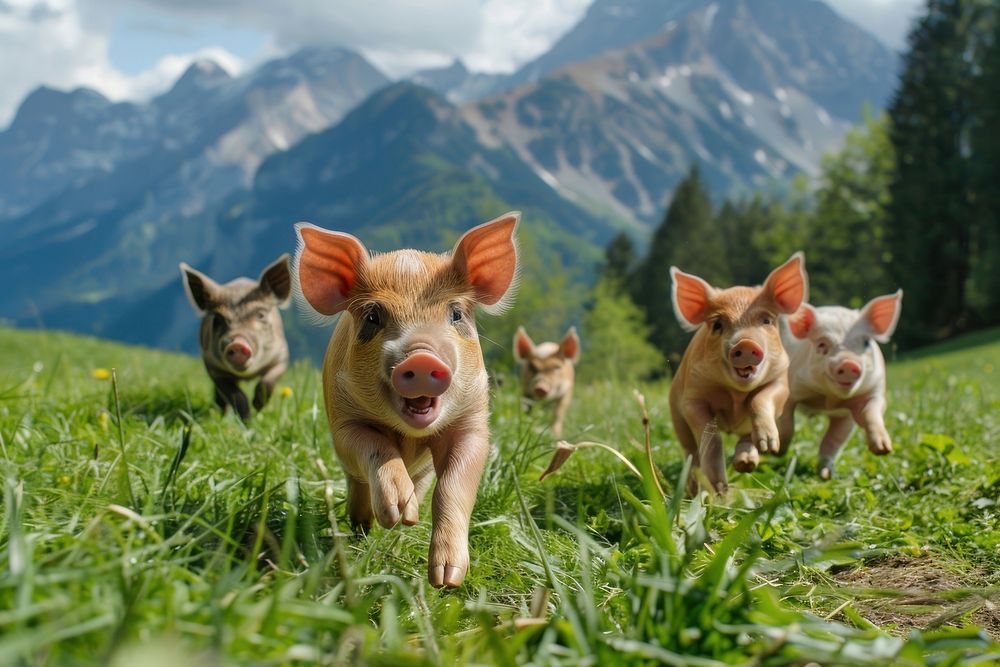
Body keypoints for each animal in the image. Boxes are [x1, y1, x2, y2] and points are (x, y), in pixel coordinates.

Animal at [179, 255, 291, 422]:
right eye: (218, 319)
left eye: (260, 315)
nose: (237, 343)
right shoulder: (213, 367)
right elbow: (236, 396)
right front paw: (246, 420)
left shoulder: (281, 355)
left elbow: (268, 381)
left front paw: (258, 407)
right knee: (219, 395)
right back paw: (218, 413)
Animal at [293, 212, 520, 588]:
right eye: (373, 317)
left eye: (456, 314)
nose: (422, 357)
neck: (410, 436)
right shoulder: (343, 423)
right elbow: (375, 447)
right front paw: (397, 512)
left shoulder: (473, 423)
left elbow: (455, 483)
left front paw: (446, 580)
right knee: (358, 490)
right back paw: (369, 527)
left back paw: (405, 531)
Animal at [669, 253, 808, 494]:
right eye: (717, 324)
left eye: (766, 320)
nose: (745, 343)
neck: (736, 395)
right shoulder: (692, 397)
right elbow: (711, 436)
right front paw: (719, 488)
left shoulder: (780, 381)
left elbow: (761, 399)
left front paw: (770, 446)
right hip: (678, 421)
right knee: (691, 453)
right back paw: (693, 489)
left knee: (745, 437)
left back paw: (746, 463)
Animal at [777, 291, 903, 479]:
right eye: (822, 344)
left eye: (866, 342)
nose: (848, 363)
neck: (829, 401)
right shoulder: (791, 389)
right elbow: (785, 423)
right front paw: (778, 452)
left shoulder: (871, 395)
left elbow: (861, 419)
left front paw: (882, 449)